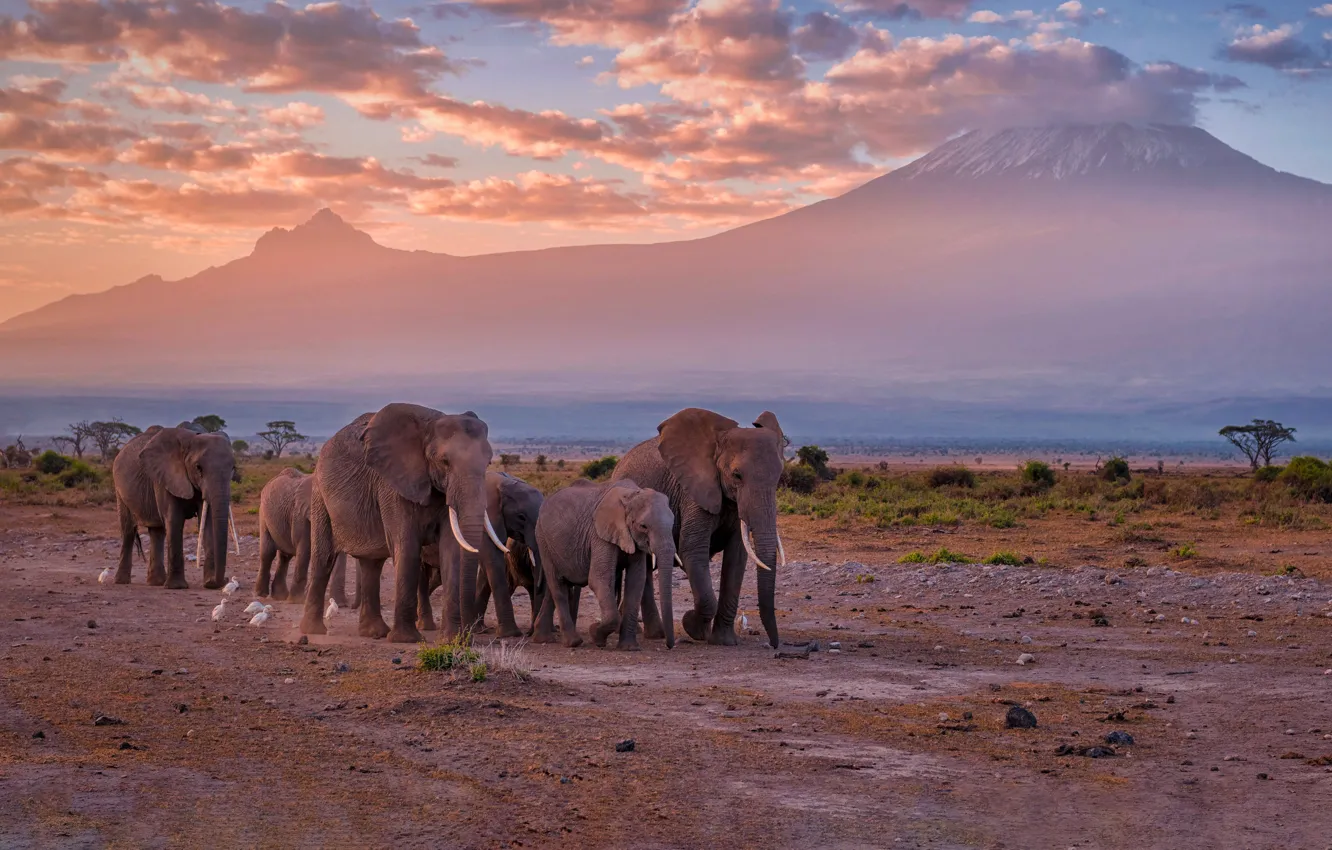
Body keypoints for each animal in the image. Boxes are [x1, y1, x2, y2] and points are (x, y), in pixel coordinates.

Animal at [111, 425, 239, 590]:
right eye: (198, 468)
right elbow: (175, 520)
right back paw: (122, 581)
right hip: (119, 489)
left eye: (233, 467)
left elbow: (208, 521)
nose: (223, 581)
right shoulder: (165, 477)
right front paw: (177, 586)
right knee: (128, 531)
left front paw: (210, 583)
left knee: (157, 532)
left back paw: (157, 582)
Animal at [254, 468, 351, 606]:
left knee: (285, 557)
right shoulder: (301, 516)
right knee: (268, 553)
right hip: (263, 514)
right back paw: (262, 594)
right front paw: (297, 601)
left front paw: (340, 604)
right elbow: (305, 548)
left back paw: (280, 596)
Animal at [299, 403, 493, 643]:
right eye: (445, 462)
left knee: (372, 564)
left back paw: (374, 633)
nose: (467, 635)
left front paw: (450, 640)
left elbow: (451, 549)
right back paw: (313, 630)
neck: (429, 426)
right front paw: (406, 639)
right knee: (324, 558)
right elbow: (407, 546)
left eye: (489, 463)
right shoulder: (392, 486)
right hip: (320, 495)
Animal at [533, 479, 676, 650]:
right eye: (643, 526)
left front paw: (629, 648)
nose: (669, 645)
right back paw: (573, 642)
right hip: (543, 539)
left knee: (554, 587)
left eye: (673, 523)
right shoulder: (599, 534)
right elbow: (598, 579)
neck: (631, 495)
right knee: (558, 586)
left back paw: (543, 639)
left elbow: (636, 582)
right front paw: (596, 635)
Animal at [611, 408, 787, 648]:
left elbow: (737, 557)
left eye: (779, 477)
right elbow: (693, 550)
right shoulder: (693, 491)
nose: (774, 644)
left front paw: (723, 641)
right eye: (737, 475)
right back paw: (656, 634)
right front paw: (692, 627)